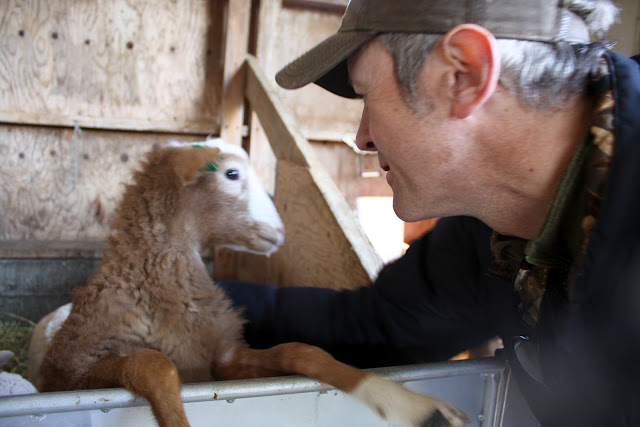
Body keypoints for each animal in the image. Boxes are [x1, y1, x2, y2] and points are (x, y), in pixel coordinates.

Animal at [30, 139, 469, 427]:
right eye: (231, 173)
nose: (280, 232)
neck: (159, 279)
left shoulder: (223, 361)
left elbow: (301, 353)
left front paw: (415, 407)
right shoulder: (73, 375)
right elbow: (153, 365)